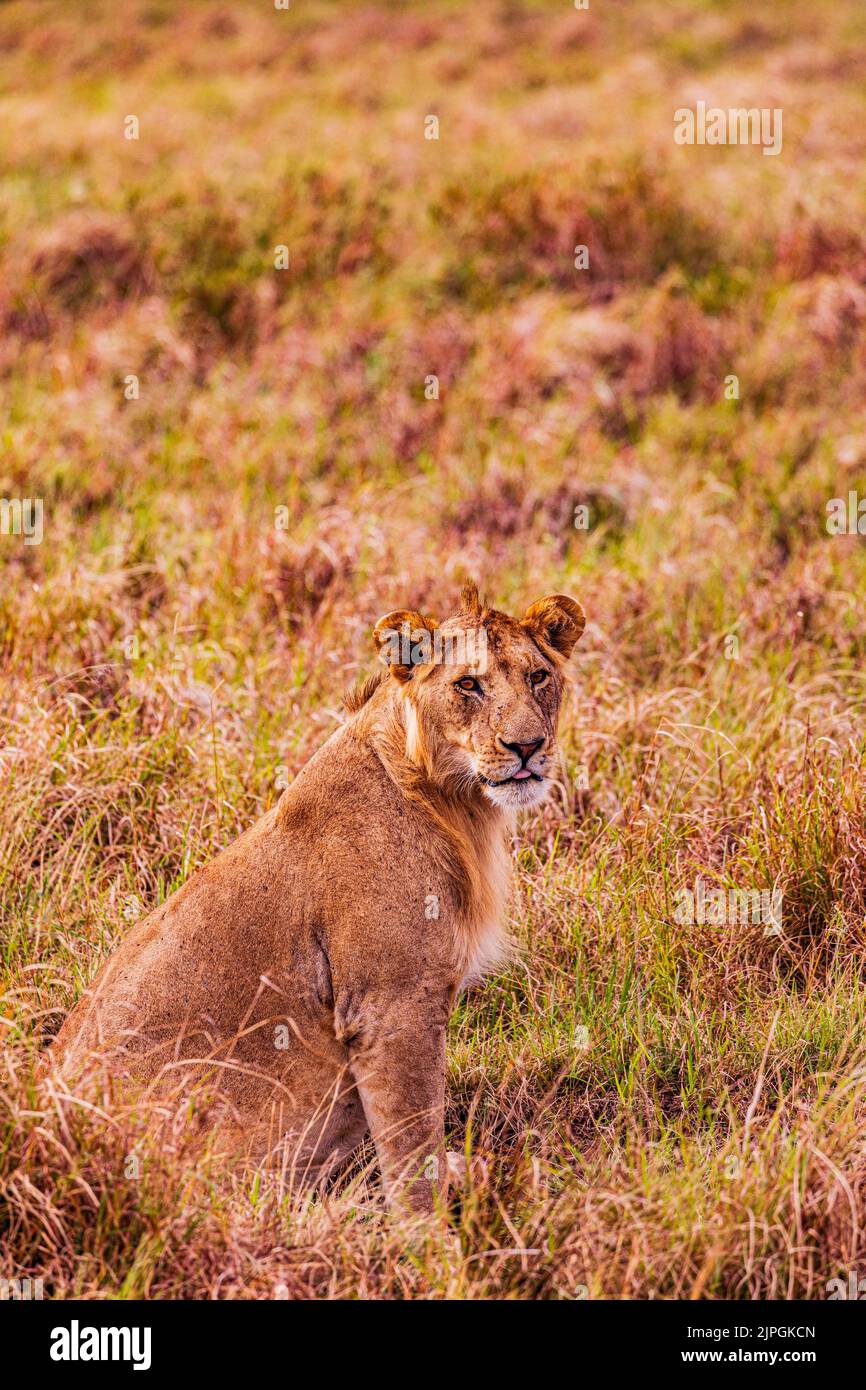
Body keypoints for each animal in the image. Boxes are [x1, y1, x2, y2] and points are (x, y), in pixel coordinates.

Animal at [52, 583, 585, 1215]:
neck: (457, 806)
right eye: (468, 685)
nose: (528, 746)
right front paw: (430, 1237)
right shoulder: (391, 1010)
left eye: (537, 677)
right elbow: (413, 1150)